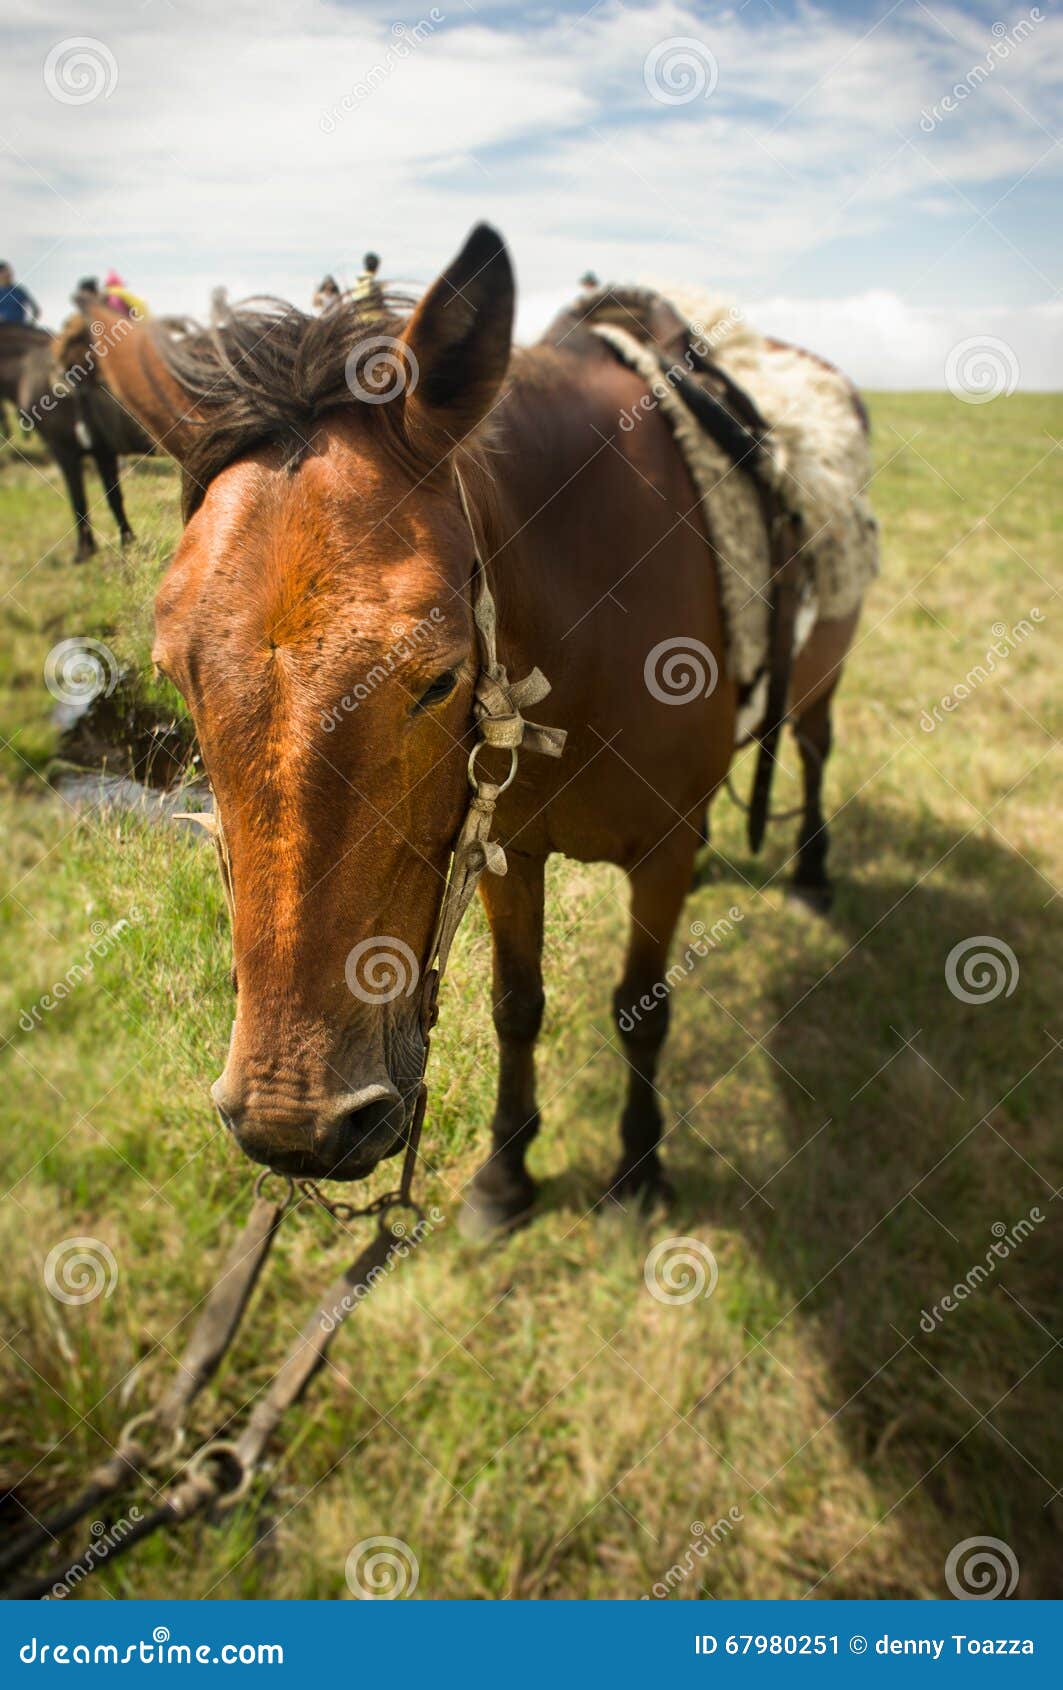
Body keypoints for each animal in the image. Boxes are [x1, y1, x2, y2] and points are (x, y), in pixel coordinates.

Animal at [4, 313, 152, 559]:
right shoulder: (103, 452)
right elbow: (114, 498)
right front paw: (128, 541)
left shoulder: (65, 452)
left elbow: (78, 501)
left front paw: (85, 550)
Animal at [89, 225, 866, 1232]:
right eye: (172, 671)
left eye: (441, 677)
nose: (293, 1123)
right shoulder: (500, 840)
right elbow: (515, 1004)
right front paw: (505, 1174)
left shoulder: (662, 851)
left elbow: (641, 1008)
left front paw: (636, 1168)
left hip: (823, 677)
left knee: (811, 749)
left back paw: (812, 871)